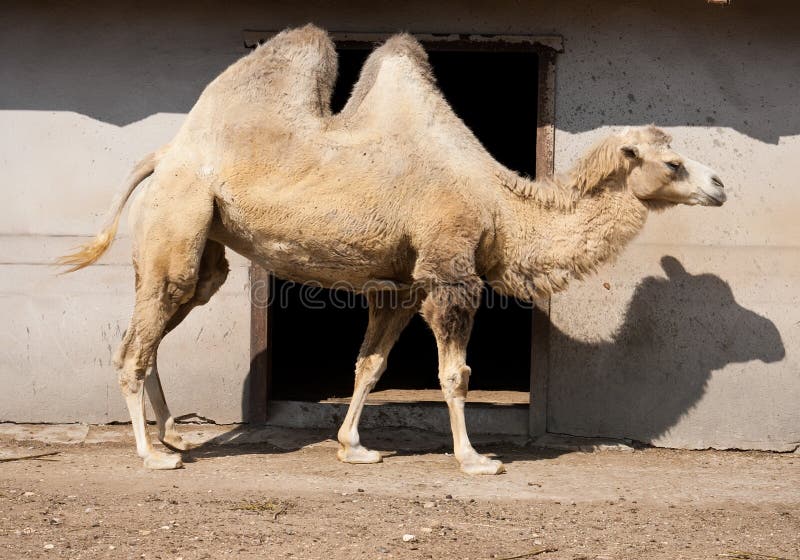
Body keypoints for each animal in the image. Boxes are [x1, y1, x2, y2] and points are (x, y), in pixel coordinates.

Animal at [60, 25, 726, 475]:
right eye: (673, 162)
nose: (720, 184)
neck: (500, 204)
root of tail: (163, 154)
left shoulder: (402, 284)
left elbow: (370, 365)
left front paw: (354, 446)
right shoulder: (450, 270)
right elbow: (454, 373)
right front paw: (474, 460)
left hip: (203, 245)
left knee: (167, 315)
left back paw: (173, 436)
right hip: (179, 215)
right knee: (136, 341)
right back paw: (153, 455)